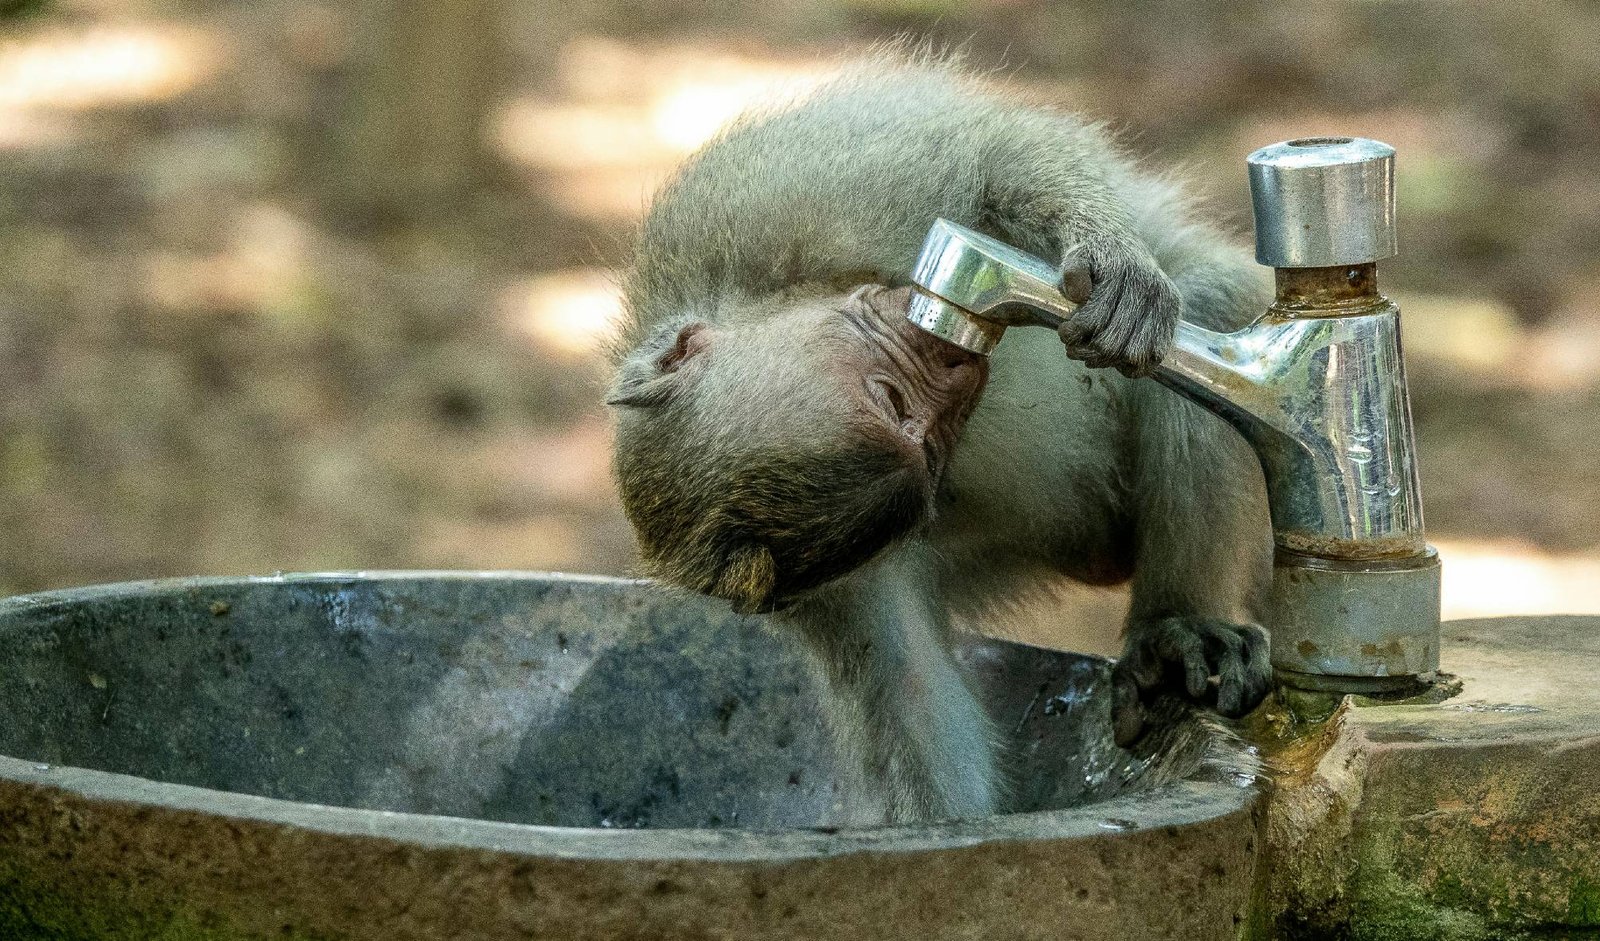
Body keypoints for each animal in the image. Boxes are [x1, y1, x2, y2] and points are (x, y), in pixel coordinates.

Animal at [606, 51, 1274, 825]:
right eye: (919, 437)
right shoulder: (845, 589)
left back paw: (1178, 623)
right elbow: (914, 720)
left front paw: (1110, 256)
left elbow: (996, 160)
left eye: (890, 395)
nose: (954, 366)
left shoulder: (791, 202)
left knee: (1204, 300)